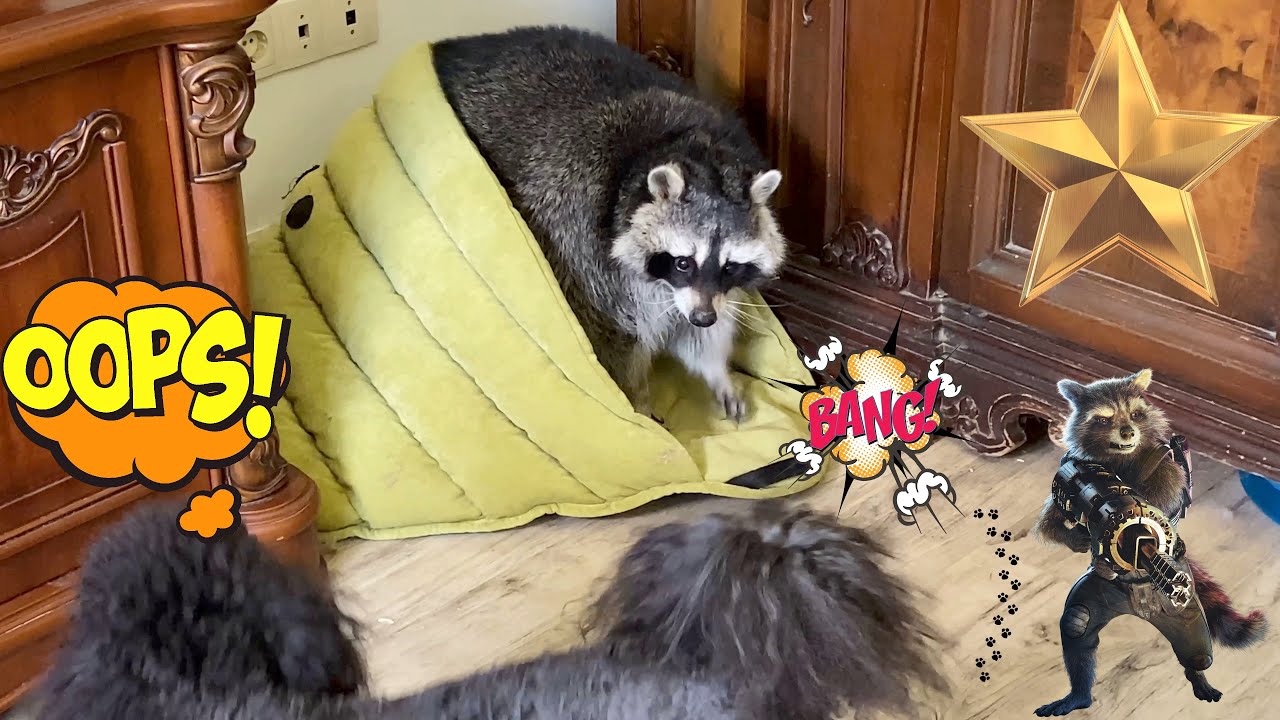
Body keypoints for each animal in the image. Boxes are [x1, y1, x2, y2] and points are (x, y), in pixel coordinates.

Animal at [433, 27, 786, 422]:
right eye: (683, 262)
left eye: (730, 267)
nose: (703, 317)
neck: (694, 150)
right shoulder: (586, 247)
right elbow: (618, 335)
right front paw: (636, 402)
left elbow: (695, 331)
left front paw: (717, 370)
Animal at [1034, 369, 1267, 716]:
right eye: (1104, 419)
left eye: (1135, 414)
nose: (1127, 431)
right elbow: (1050, 524)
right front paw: (1077, 536)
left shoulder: (1164, 466)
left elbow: (1164, 501)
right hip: (1104, 592)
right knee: (1078, 622)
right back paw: (1080, 695)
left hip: (1182, 609)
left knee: (1196, 646)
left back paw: (1196, 673)